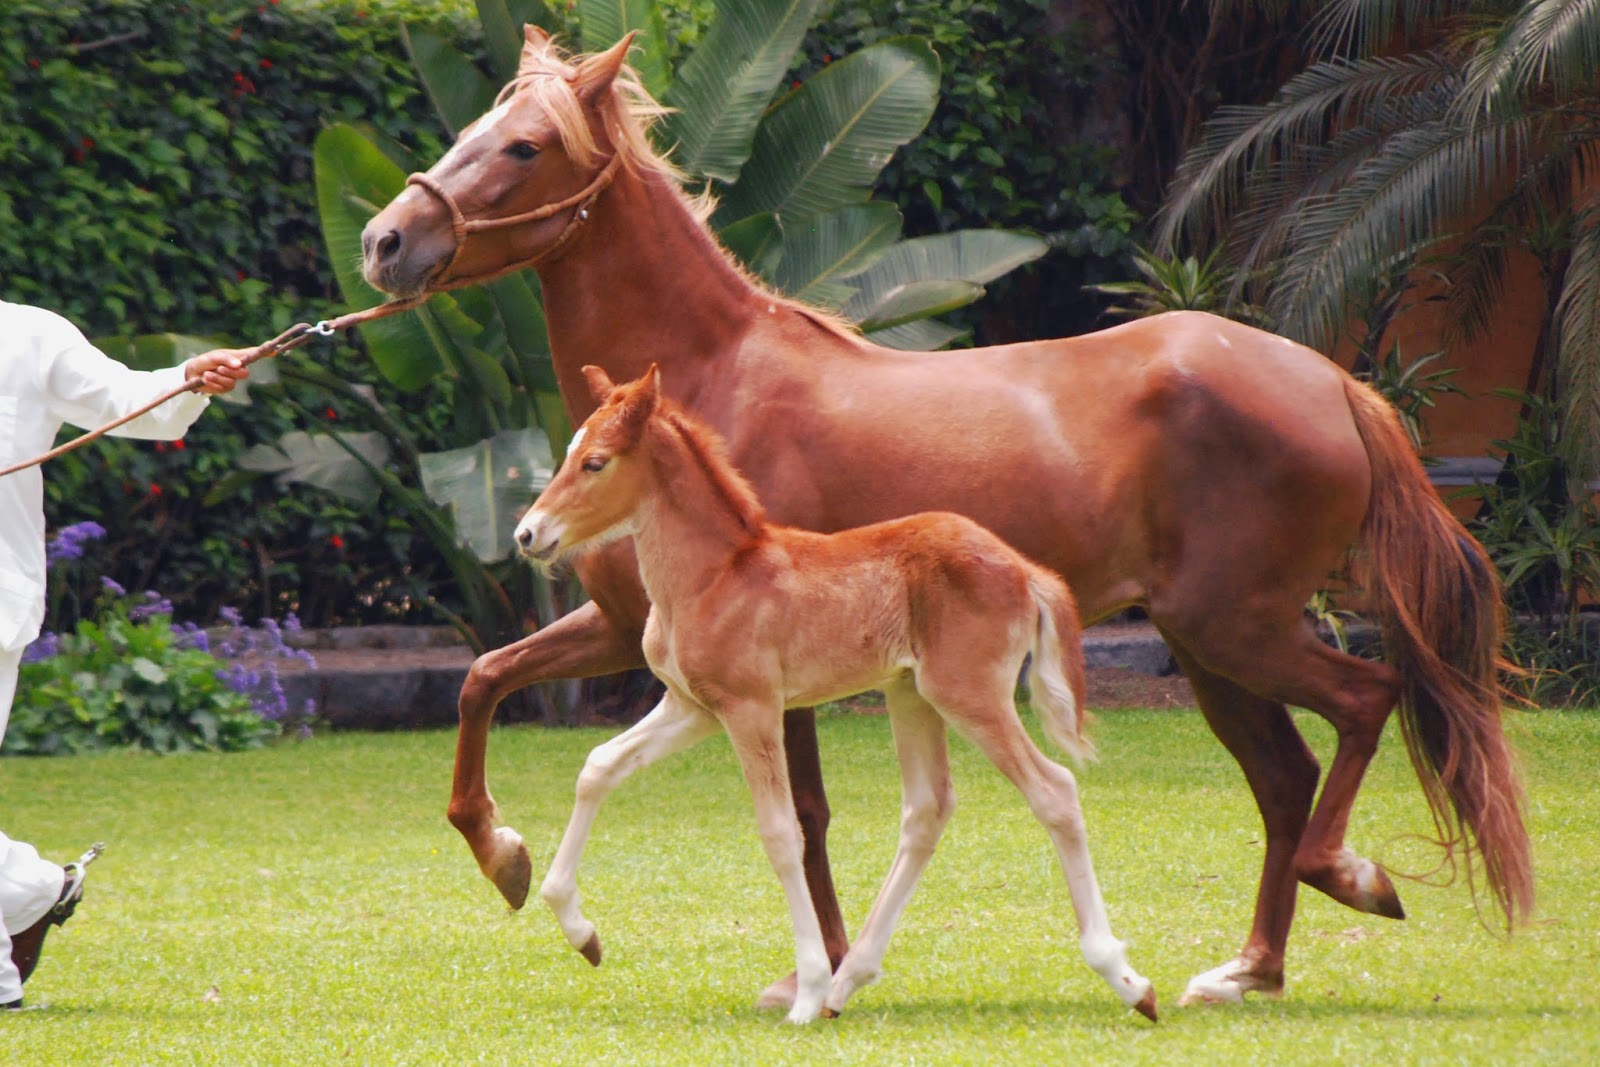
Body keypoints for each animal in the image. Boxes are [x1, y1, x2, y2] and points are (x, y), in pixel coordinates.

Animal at [516, 364, 1158, 1024]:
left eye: (595, 462)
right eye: (566, 455)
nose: (528, 534)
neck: (714, 577)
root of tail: (1025, 571)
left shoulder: (752, 709)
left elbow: (780, 833)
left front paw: (805, 990)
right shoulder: (692, 707)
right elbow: (599, 766)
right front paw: (578, 929)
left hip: (970, 696)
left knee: (1053, 790)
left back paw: (1127, 980)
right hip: (911, 695)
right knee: (927, 810)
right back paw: (849, 983)